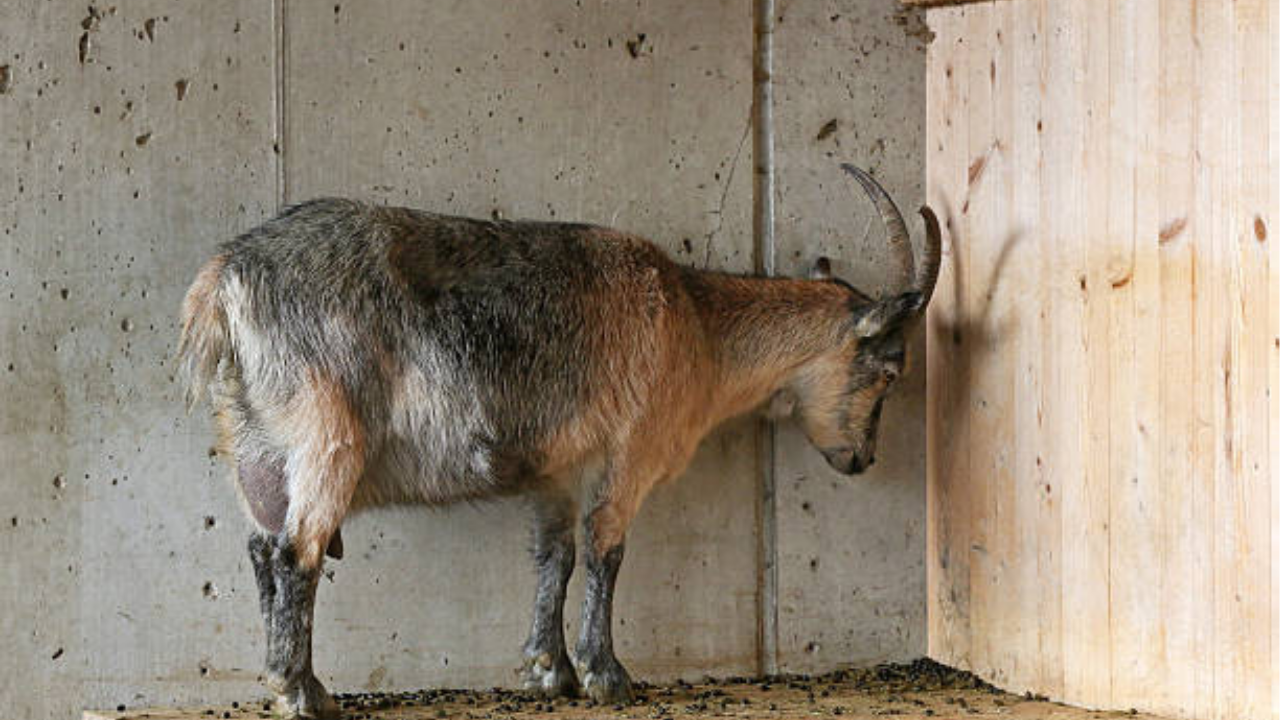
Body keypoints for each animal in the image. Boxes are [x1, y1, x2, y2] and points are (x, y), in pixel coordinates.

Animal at [177, 165, 941, 719]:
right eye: (892, 369)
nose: (860, 458)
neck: (698, 324)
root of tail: (223, 284)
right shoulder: (629, 454)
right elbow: (607, 552)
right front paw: (608, 674)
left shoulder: (556, 474)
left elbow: (557, 555)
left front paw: (550, 670)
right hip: (325, 435)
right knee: (297, 552)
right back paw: (302, 693)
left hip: (253, 445)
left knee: (261, 547)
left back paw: (287, 678)